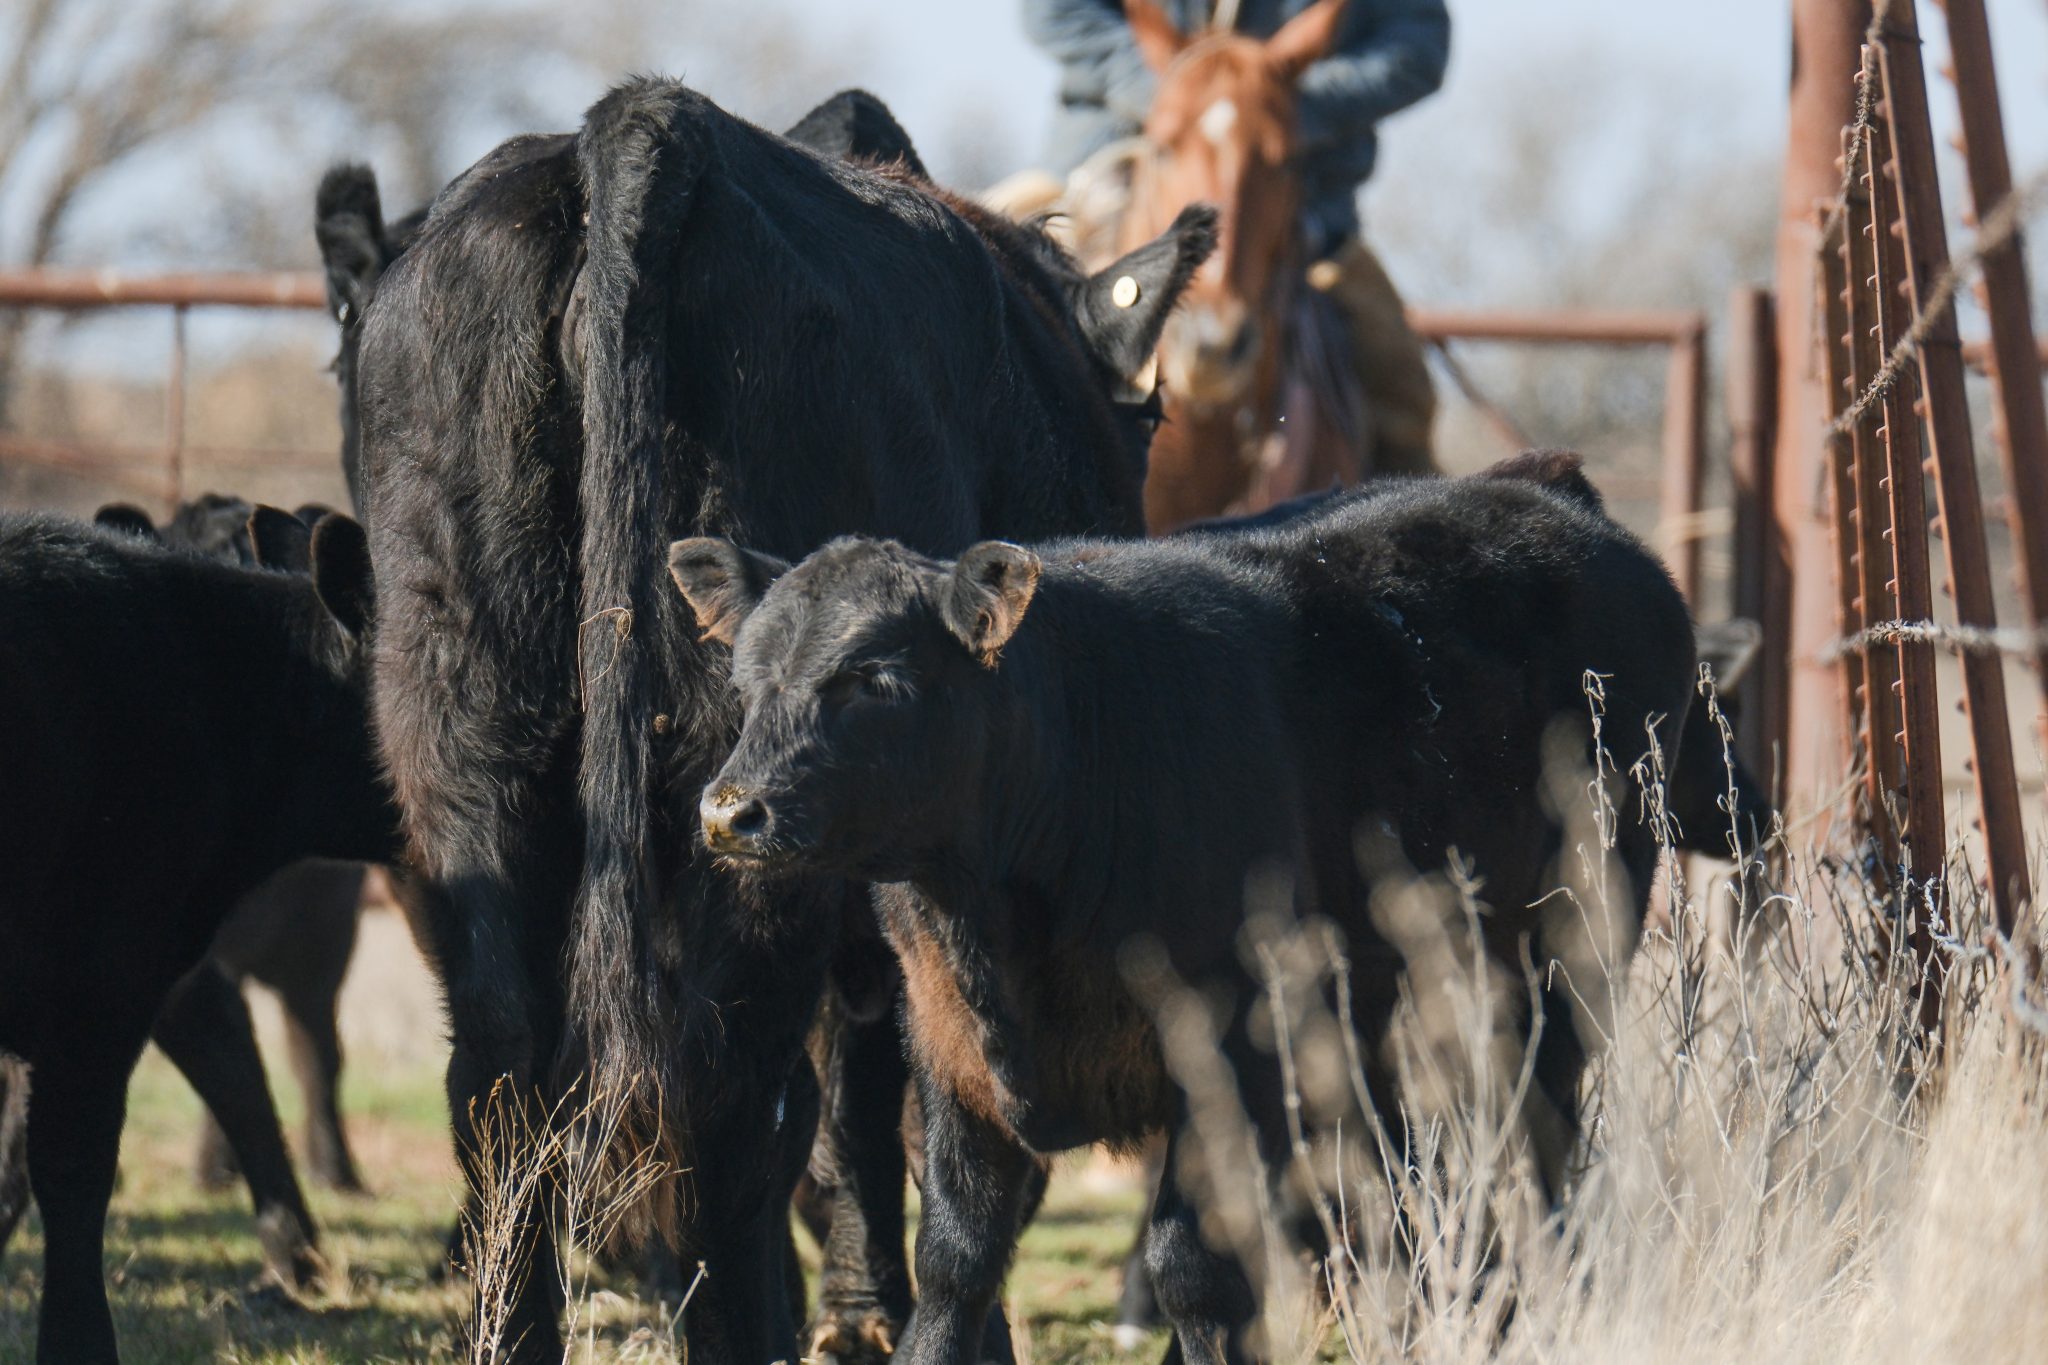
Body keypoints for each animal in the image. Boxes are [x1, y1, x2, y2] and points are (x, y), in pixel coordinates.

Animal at [328, 77, 1215, 1361]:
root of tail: (642, 123)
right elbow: (896, 1089)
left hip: (464, 732)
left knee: (501, 1077)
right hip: (749, 797)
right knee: (731, 1093)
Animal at [669, 456, 1703, 1363]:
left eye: (875, 679)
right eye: (748, 680)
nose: (729, 811)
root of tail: (1543, 492)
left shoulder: (1230, 1046)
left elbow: (1191, 1267)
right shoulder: (947, 1045)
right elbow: (957, 1262)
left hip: (1561, 967)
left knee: (1528, 1160)